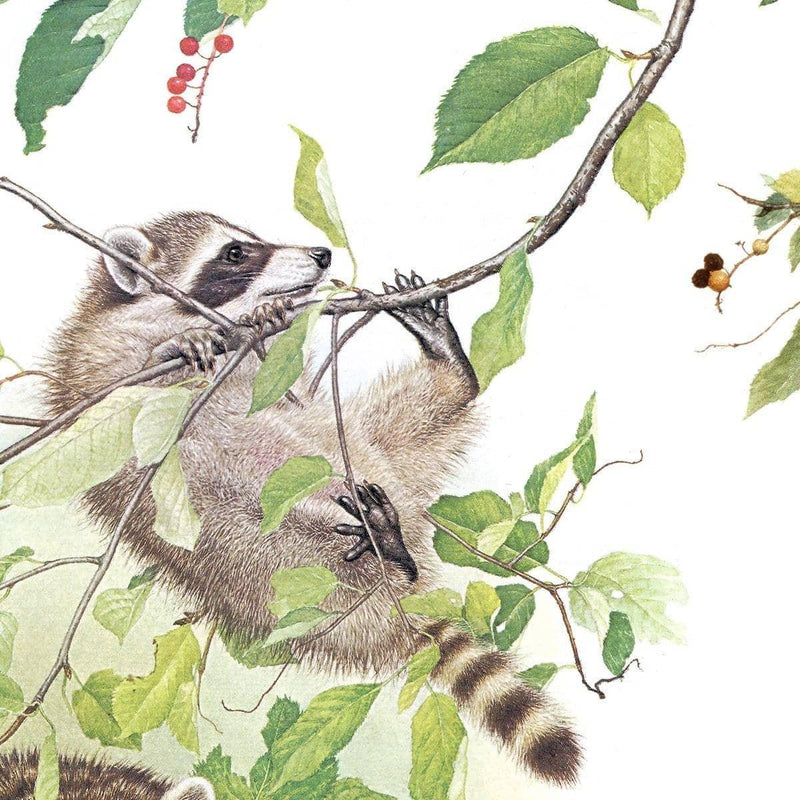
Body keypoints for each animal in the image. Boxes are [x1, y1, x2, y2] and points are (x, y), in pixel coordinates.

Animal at [41, 212, 580, 785]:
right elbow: (129, 410)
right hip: (263, 563)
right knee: (291, 545)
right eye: (235, 252)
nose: (322, 255)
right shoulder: (93, 372)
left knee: (411, 419)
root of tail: (395, 606)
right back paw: (390, 552)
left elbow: (288, 386)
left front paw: (269, 317)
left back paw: (449, 375)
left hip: (375, 455)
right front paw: (175, 348)